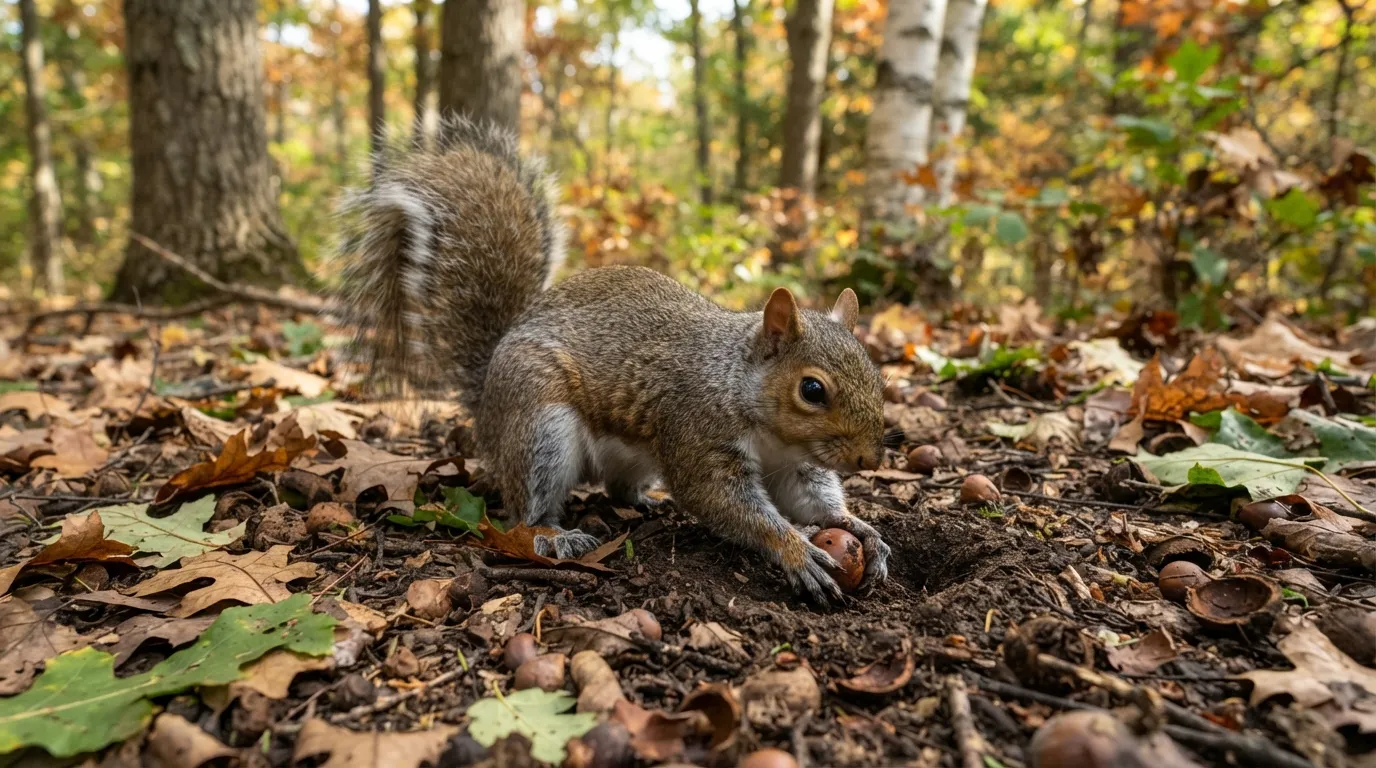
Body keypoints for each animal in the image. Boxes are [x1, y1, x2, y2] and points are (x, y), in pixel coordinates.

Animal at [333, 118, 891, 603]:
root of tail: (488, 388)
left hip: (626, 455)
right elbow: (724, 502)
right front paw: (796, 550)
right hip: (541, 424)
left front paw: (859, 527)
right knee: (525, 509)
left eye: (877, 376)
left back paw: (645, 502)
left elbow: (813, 498)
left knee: (618, 488)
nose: (870, 459)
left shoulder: (795, 466)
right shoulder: (698, 434)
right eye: (812, 390)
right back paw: (555, 535)